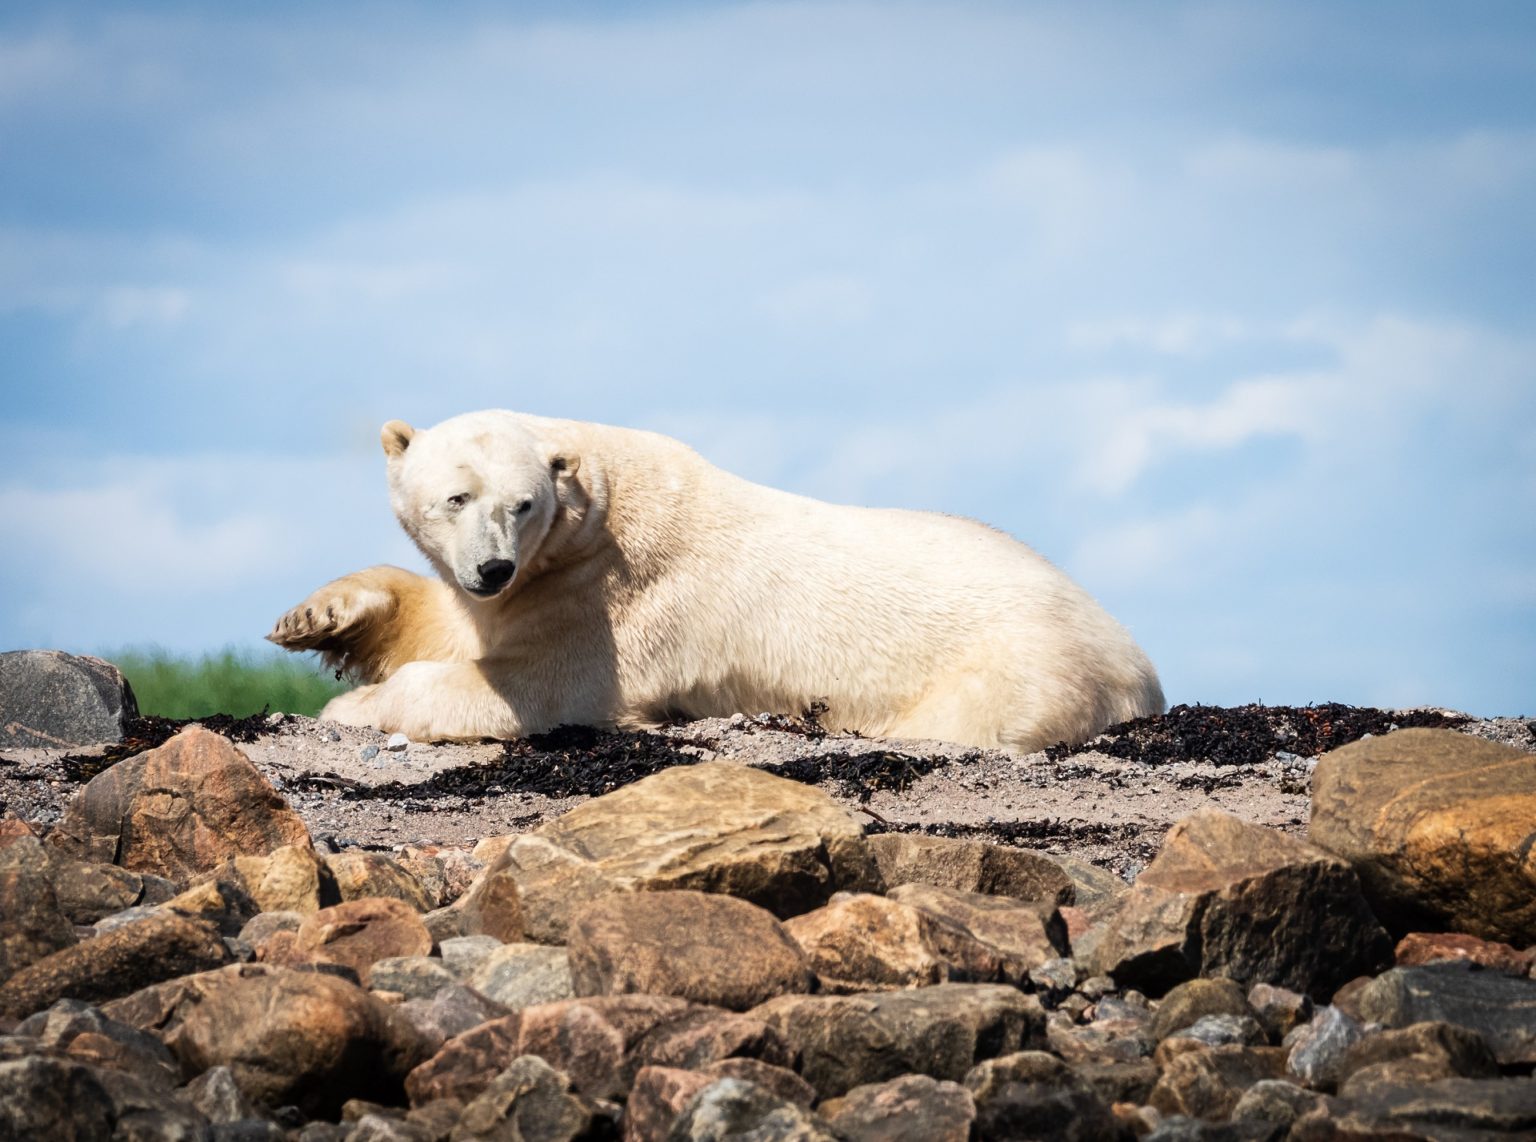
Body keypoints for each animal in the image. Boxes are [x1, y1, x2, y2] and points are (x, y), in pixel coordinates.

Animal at [268, 411, 1164, 752]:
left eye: (522, 504)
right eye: (456, 497)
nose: (492, 567)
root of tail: (1140, 663)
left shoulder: (611, 599)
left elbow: (534, 687)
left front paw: (350, 707)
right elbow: (447, 620)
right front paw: (312, 620)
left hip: (1020, 662)